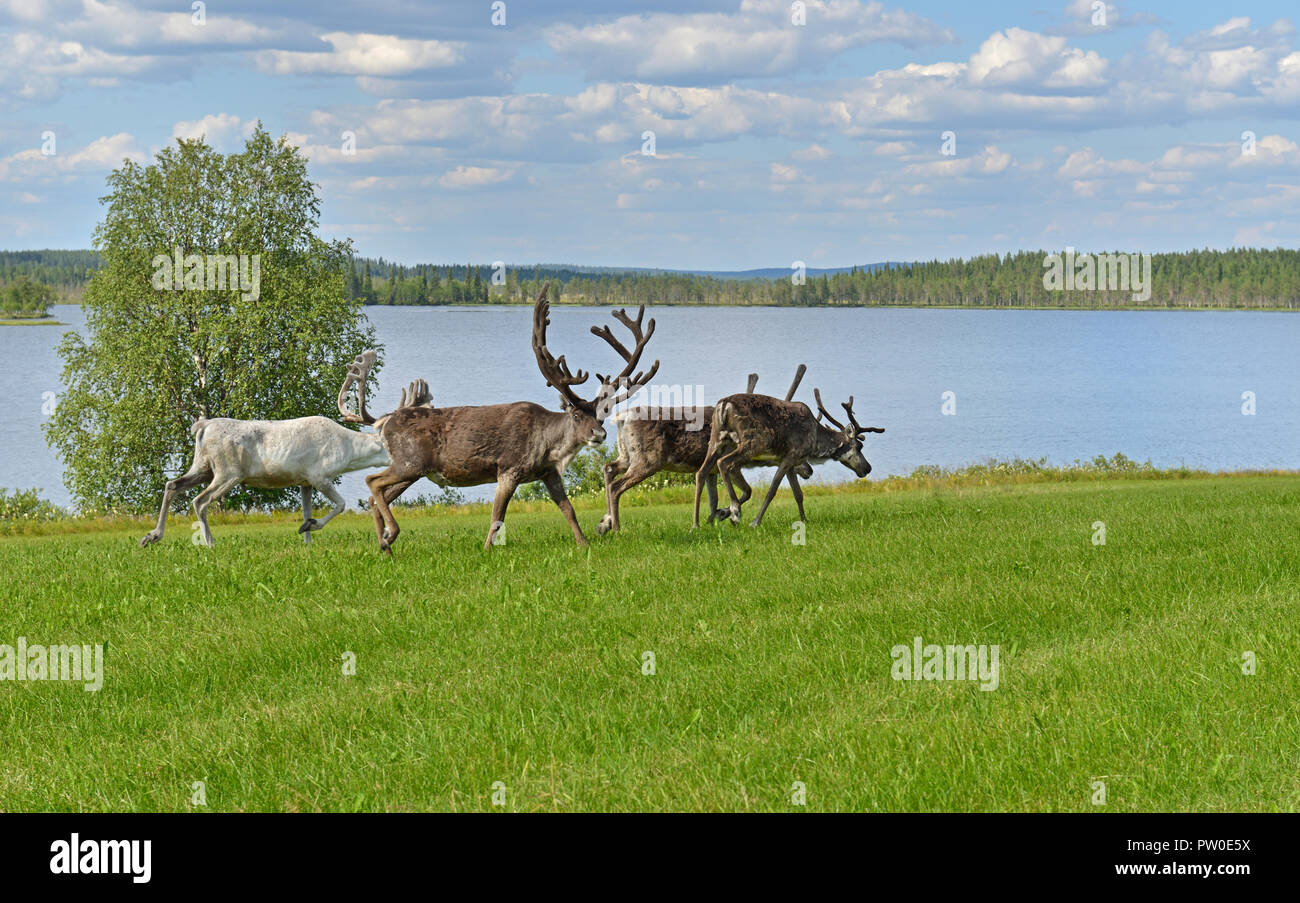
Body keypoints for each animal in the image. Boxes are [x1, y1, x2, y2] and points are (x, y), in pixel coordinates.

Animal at [139, 352, 429, 548]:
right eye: (392, 441)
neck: (347, 450)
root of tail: (203, 425)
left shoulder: (304, 481)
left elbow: (306, 510)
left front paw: (308, 540)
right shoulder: (318, 475)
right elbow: (341, 504)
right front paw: (310, 527)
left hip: (203, 466)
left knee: (172, 485)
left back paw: (151, 536)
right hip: (228, 471)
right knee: (200, 501)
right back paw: (209, 542)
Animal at [362, 284, 658, 553]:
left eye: (600, 416)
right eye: (576, 415)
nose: (599, 434)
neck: (548, 446)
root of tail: (383, 422)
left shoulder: (548, 472)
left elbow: (568, 509)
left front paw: (584, 543)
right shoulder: (508, 468)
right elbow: (497, 516)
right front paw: (486, 550)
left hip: (412, 469)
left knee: (377, 497)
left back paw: (385, 546)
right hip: (410, 462)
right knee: (372, 482)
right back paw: (390, 535)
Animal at [597, 365, 812, 535]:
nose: (809, 470)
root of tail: (622, 418)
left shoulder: (713, 471)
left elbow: (715, 498)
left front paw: (715, 516)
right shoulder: (733, 466)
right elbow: (747, 491)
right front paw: (724, 514)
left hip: (626, 456)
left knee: (608, 468)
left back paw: (605, 523)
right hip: (647, 461)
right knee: (616, 486)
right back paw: (616, 529)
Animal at [693, 386, 884, 529]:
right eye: (859, 446)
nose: (868, 468)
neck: (815, 440)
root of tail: (724, 405)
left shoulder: (791, 463)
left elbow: (798, 494)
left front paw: (804, 520)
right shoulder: (789, 457)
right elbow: (772, 490)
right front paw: (755, 522)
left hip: (717, 438)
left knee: (701, 472)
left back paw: (696, 524)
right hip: (752, 442)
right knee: (724, 463)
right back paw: (734, 513)